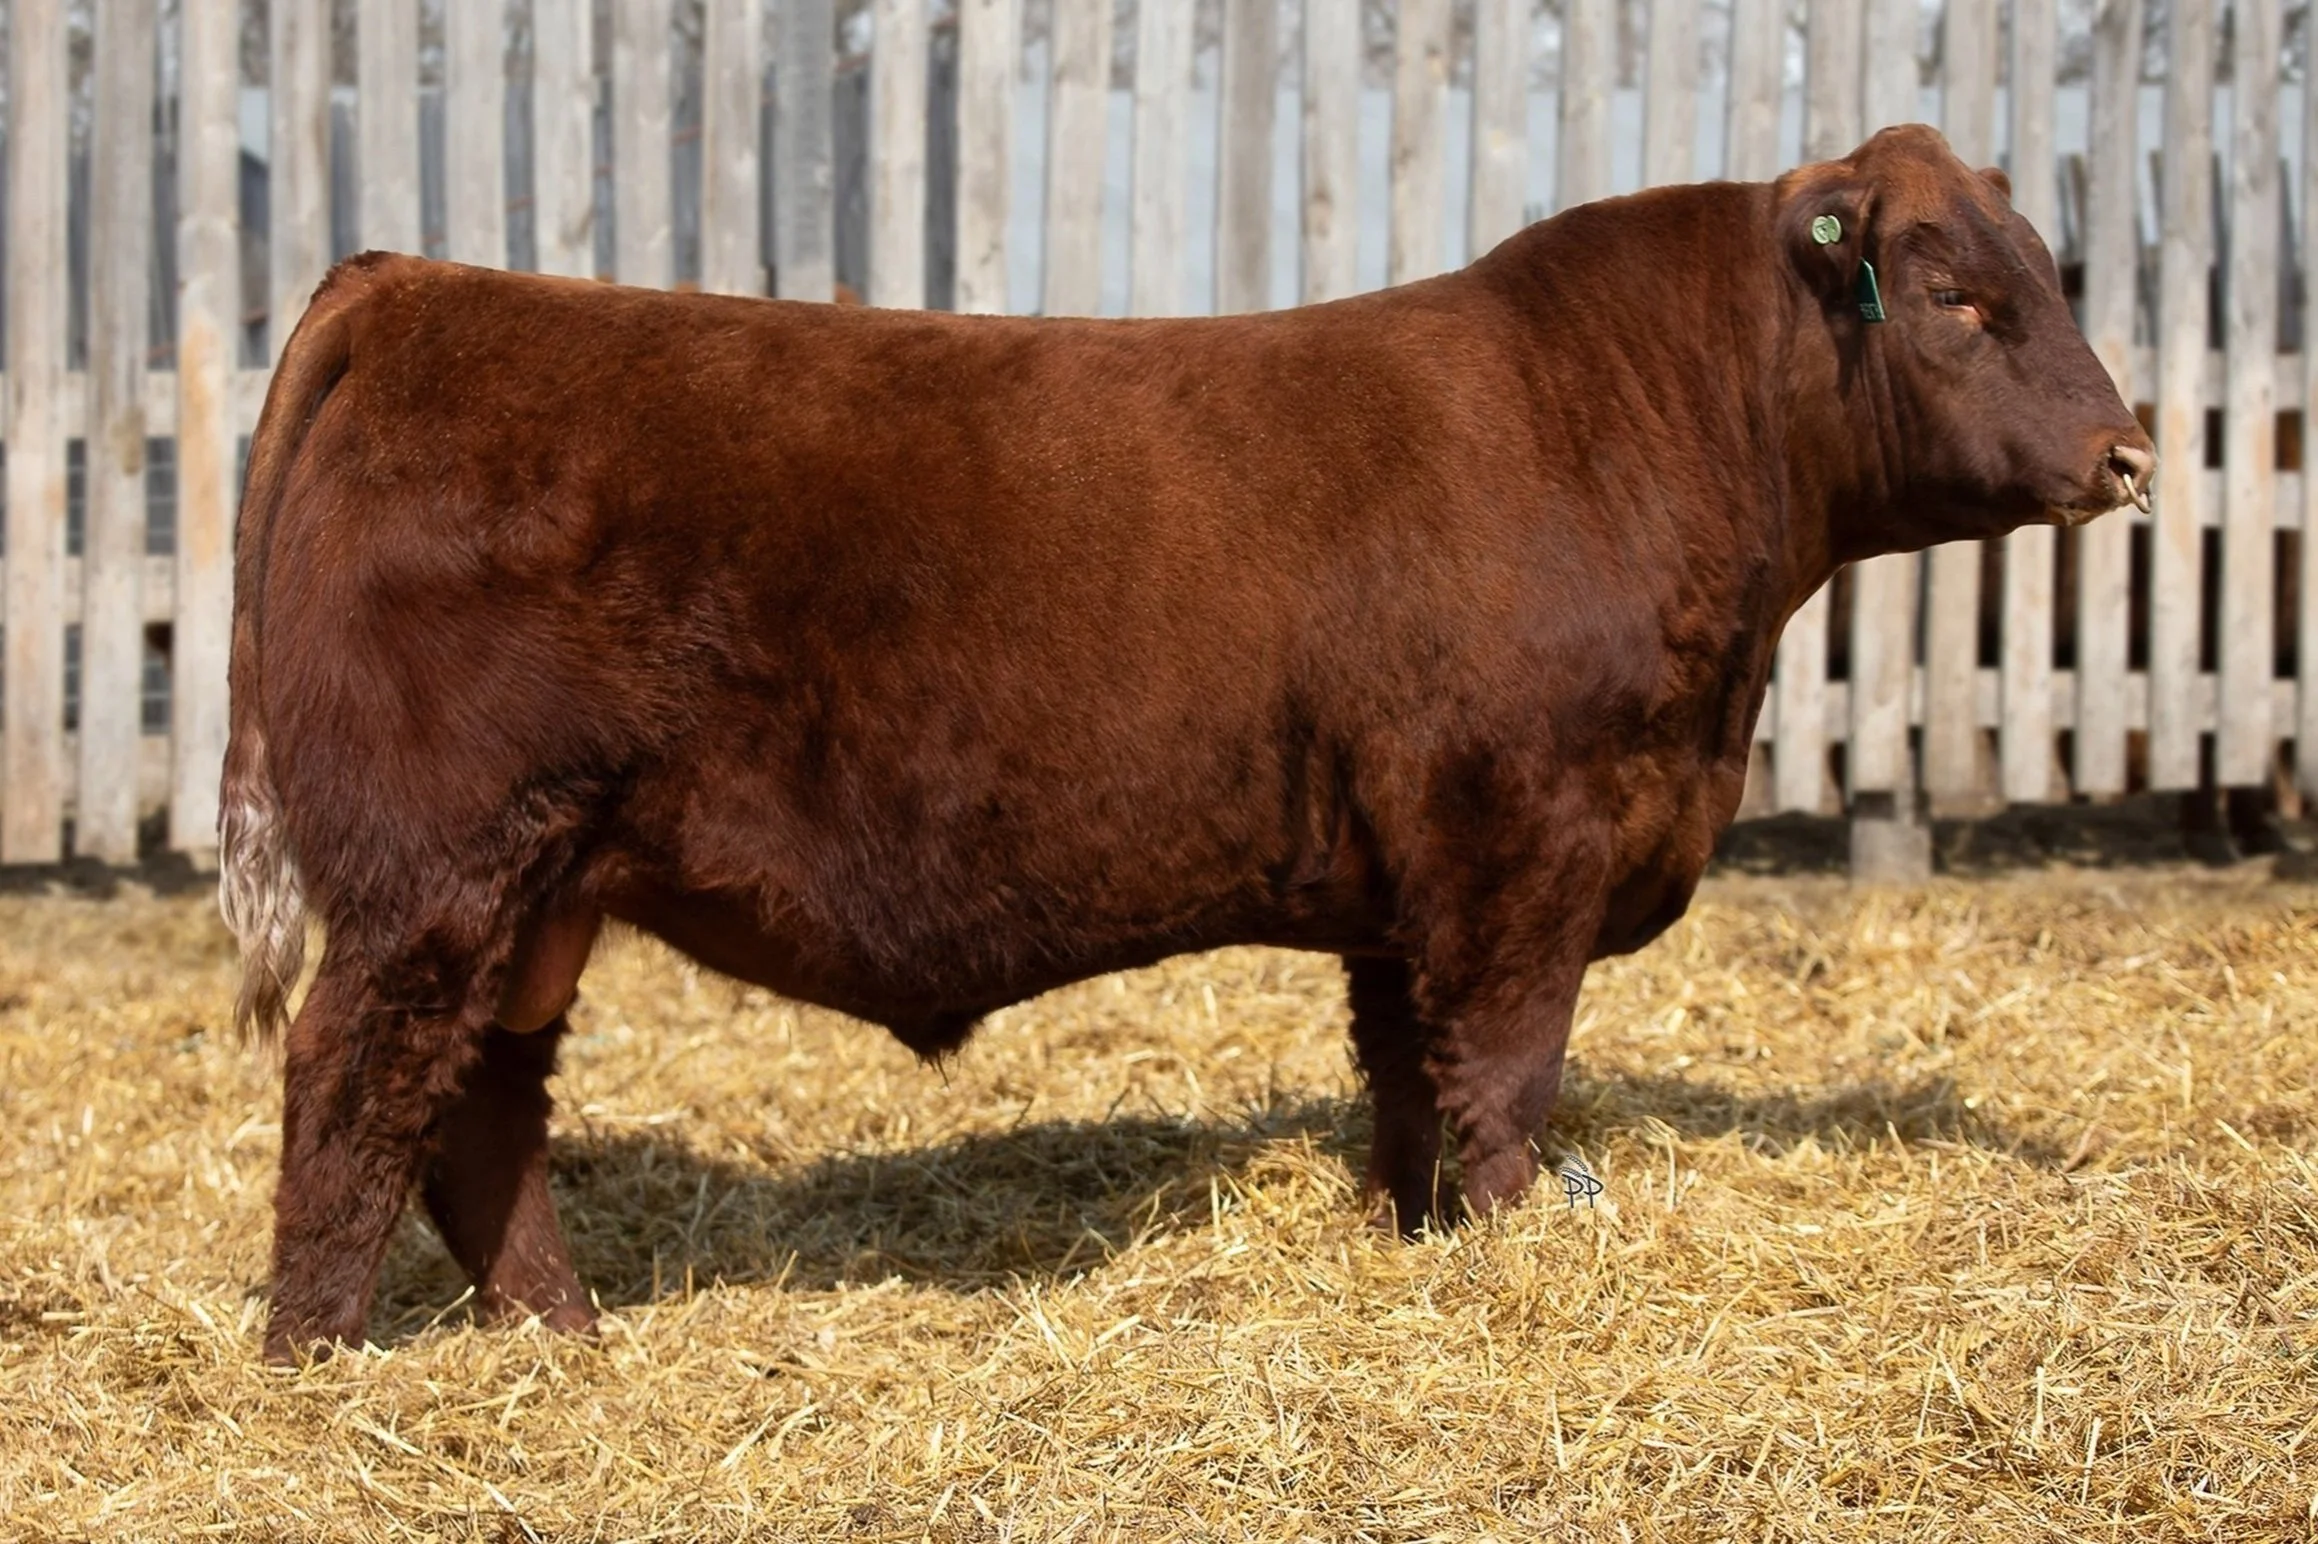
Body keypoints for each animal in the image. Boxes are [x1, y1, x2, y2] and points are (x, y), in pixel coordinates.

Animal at [220, 125, 2154, 1362]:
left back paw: (558, 1334)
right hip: (437, 872)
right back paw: (317, 1363)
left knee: (477, 1107)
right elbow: (1505, 1075)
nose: (2128, 453)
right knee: (353, 1081)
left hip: (536, 886)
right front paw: (1512, 1253)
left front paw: (1419, 1241)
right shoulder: (1520, 845)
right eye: (1954, 296)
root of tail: (412, 286)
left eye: (2046, 276)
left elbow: (1410, 1081)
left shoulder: (1407, 885)